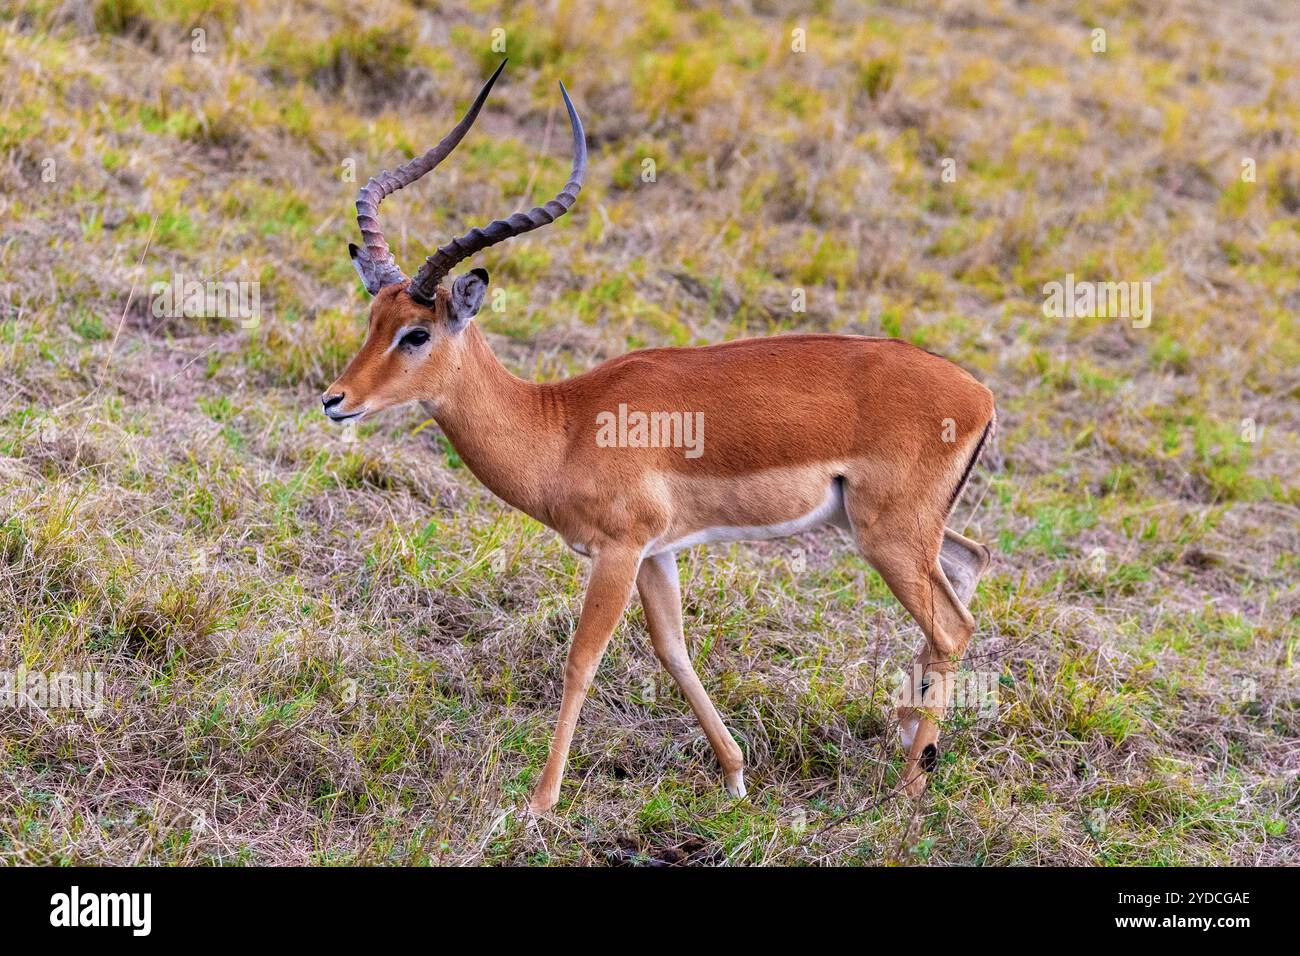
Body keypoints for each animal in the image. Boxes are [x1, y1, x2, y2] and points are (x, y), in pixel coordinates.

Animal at [322, 62, 997, 813]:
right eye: (373, 319)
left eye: (416, 334)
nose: (334, 400)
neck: (563, 423)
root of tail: (979, 395)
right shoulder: (657, 552)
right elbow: (673, 649)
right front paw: (735, 774)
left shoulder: (618, 550)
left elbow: (582, 659)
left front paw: (538, 804)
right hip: (892, 527)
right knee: (969, 565)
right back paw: (909, 737)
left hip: (886, 534)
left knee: (953, 624)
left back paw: (910, 782)